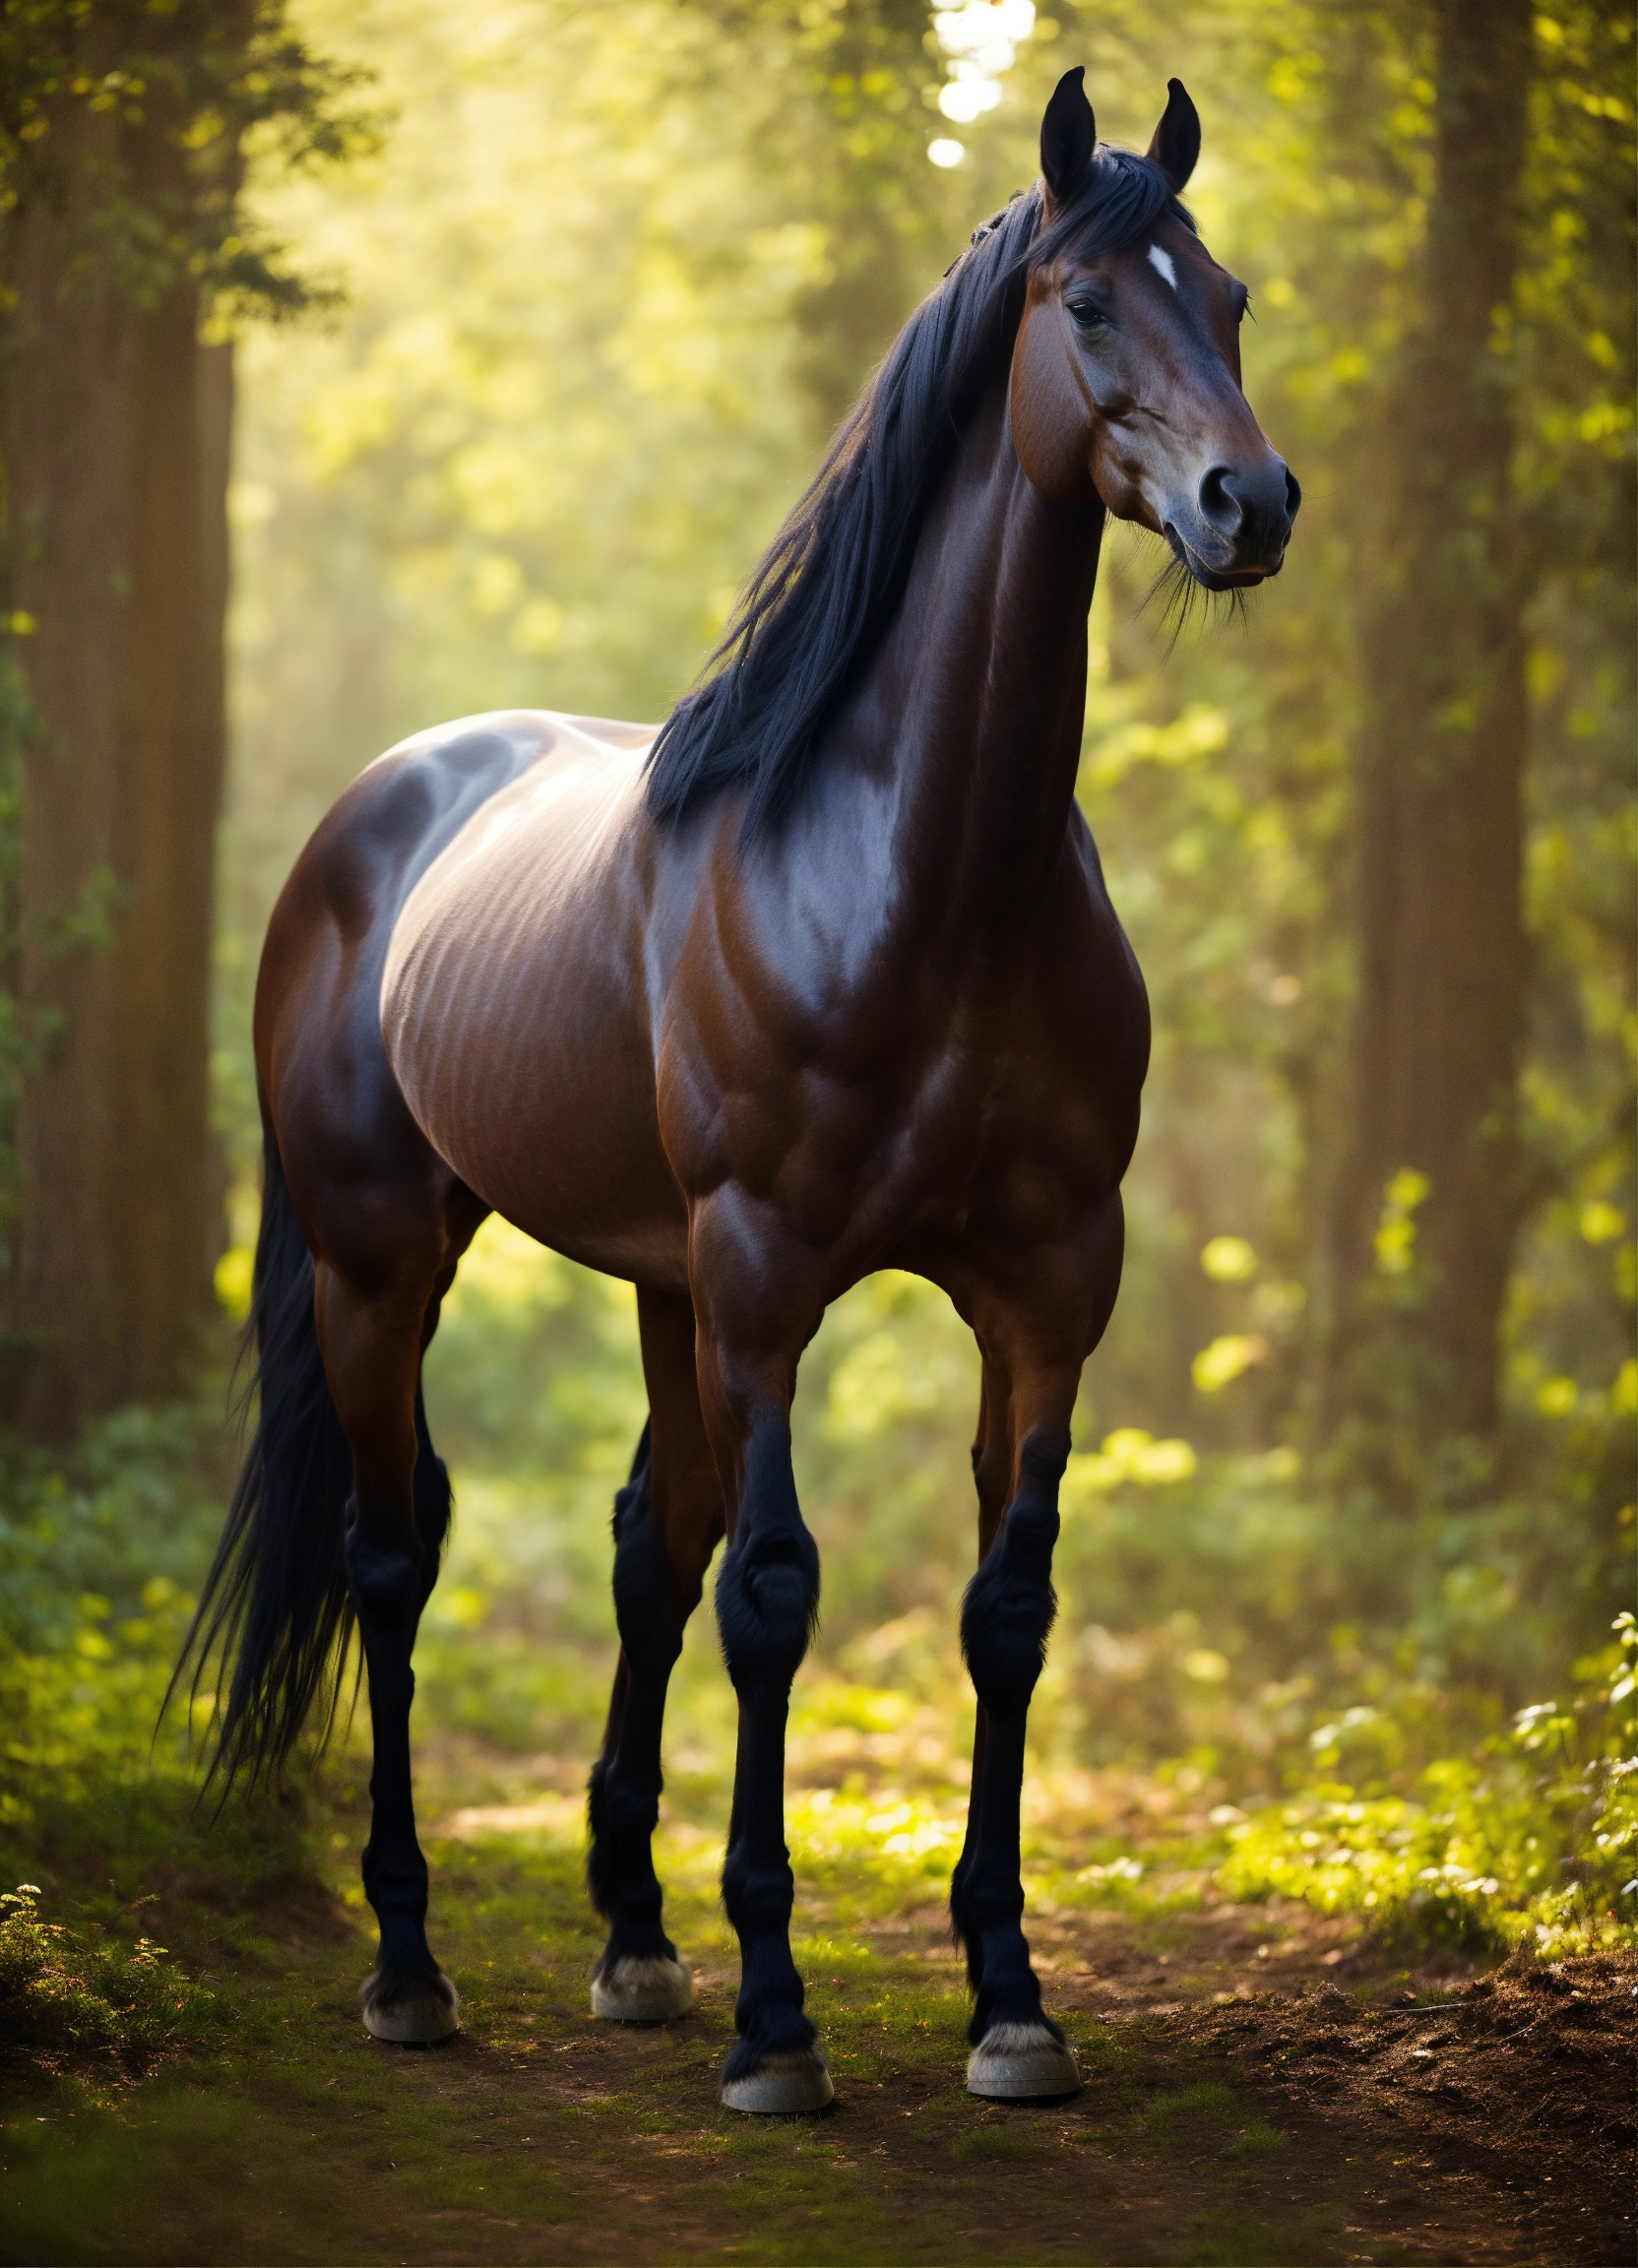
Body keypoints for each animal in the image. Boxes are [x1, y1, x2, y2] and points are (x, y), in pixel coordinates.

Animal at [183, 66, 1297, 2115]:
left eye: (1236, 298)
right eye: (1089, 301)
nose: (1241, 504)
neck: (918, 874)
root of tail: (369, 811)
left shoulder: (1045, 1289)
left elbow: (1000, 1604)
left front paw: (1006, 1993)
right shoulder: (771, 1275)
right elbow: (773, 1593)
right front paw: (778, 2017)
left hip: (657, 1281)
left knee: (646, 1542)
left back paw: (632, 1938)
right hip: (387, 1267)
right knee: (394, 1556)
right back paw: (407, 1960)